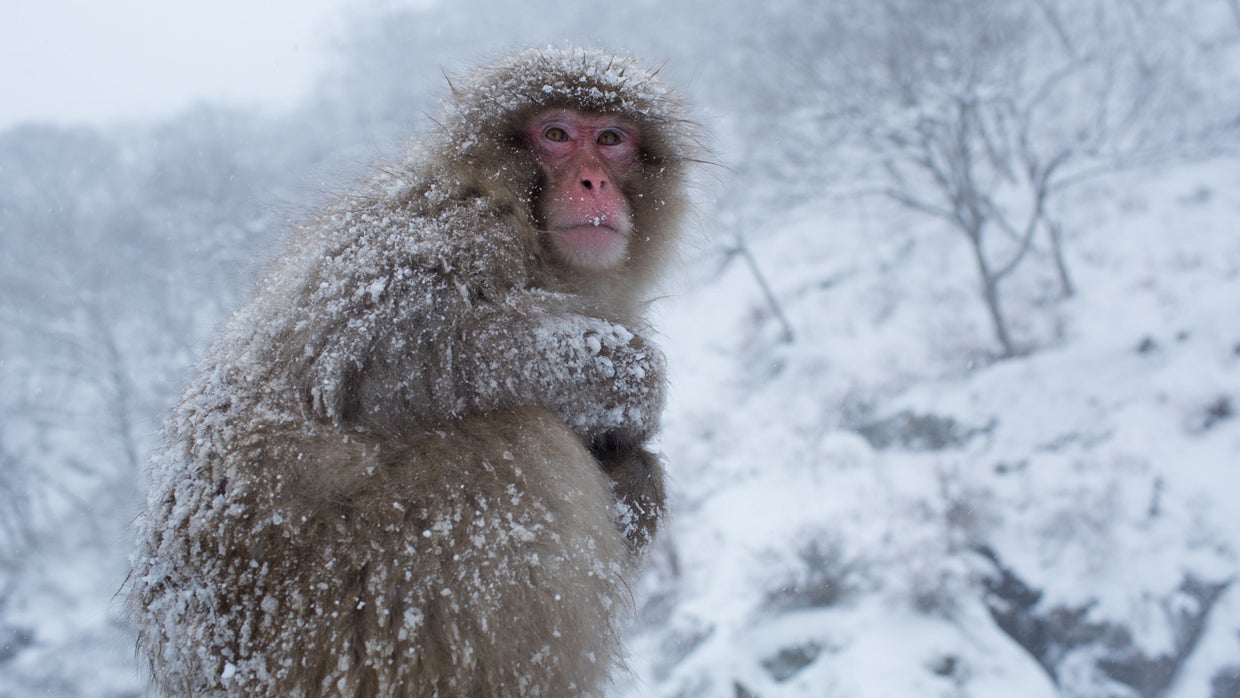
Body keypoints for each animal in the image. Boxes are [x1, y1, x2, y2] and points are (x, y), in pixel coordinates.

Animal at [125, 47, 697, 697]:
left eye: (610, 139)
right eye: (555, 135)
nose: (592, 181)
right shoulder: (440, 227)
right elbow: (380, 356)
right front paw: (626, 375)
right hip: (344, 616)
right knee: (517, 443)